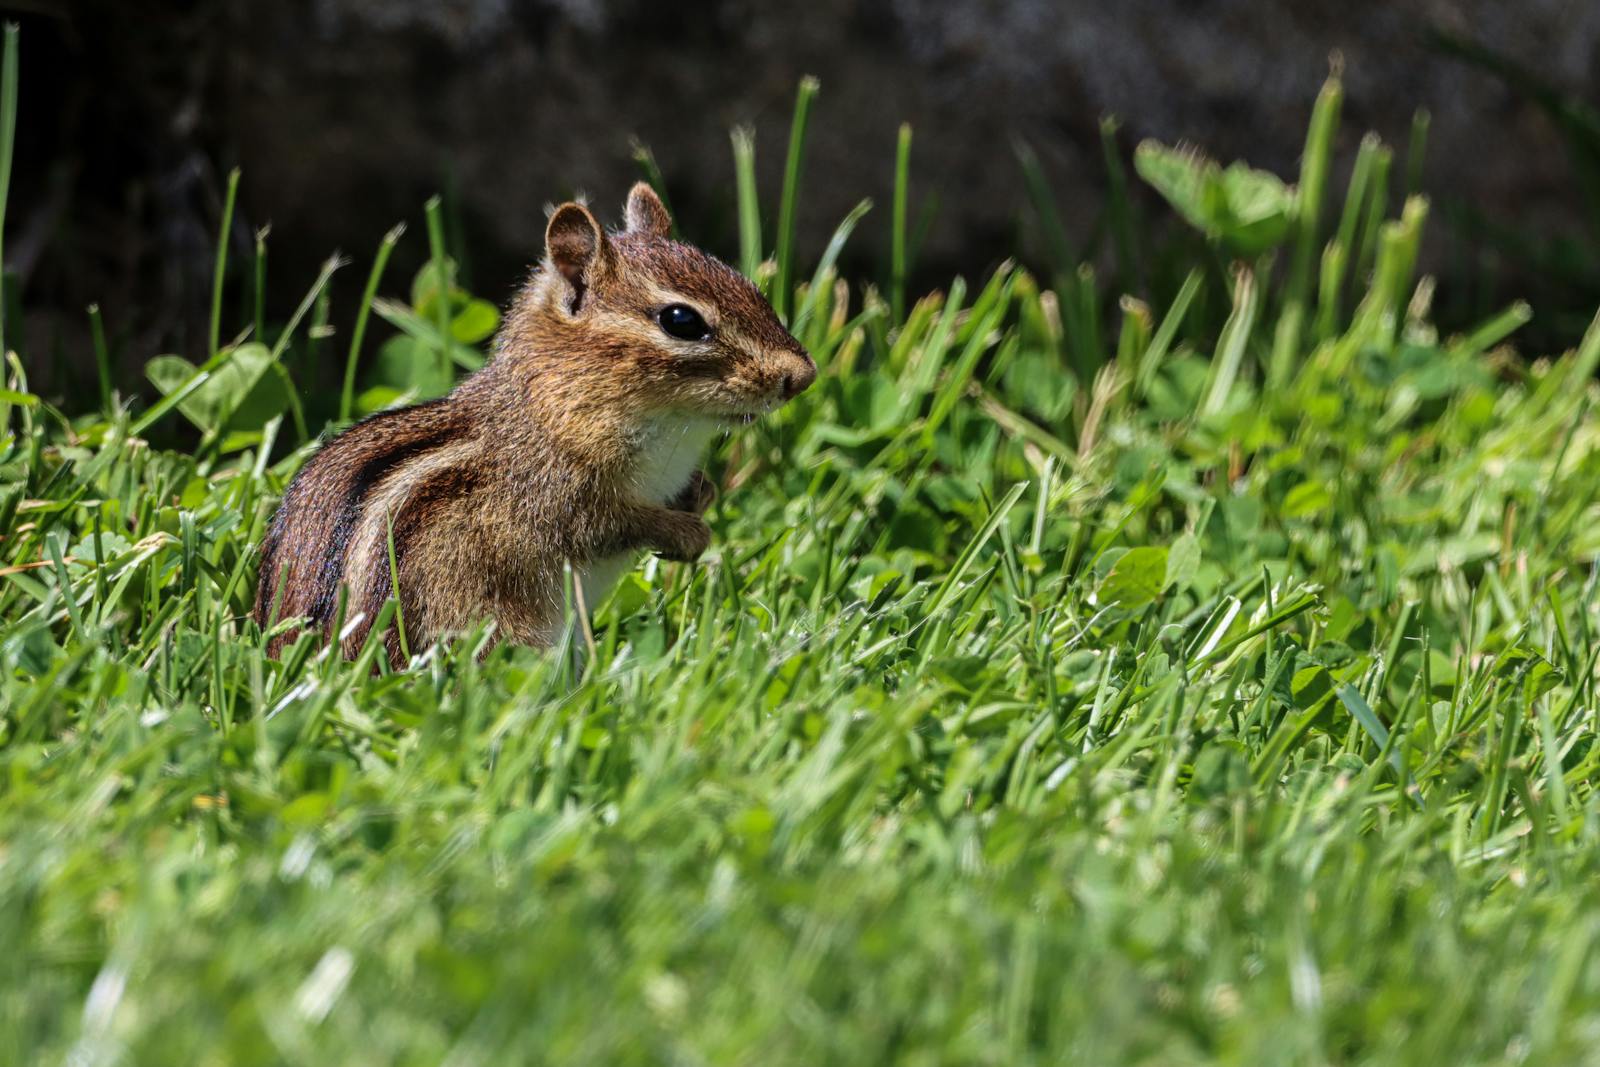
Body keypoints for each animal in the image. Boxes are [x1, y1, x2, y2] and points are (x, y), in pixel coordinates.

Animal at [254, 182, 816, 666]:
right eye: (681, 321)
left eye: (750, 287)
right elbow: (611, 525)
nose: (802, 376)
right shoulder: (557, 498)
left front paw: (702, 493)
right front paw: (688, 532)